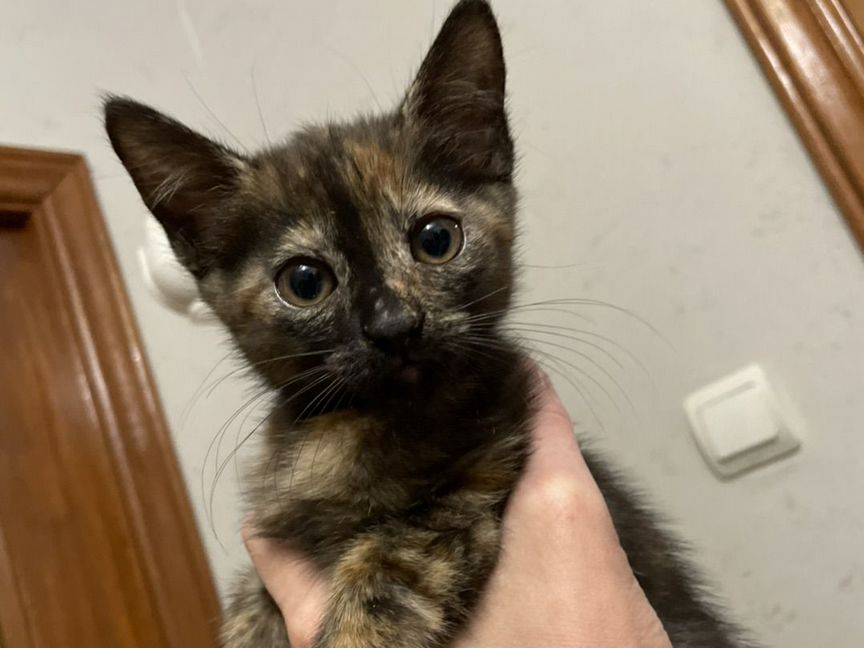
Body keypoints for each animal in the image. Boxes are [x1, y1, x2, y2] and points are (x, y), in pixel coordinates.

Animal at [105, 1, 748, 646]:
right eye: (305, 282)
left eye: (436, 240)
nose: (394, 325)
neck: (347, 429)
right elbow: (247, 598)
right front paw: (248, 622)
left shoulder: (471, 490)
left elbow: (377, 581)